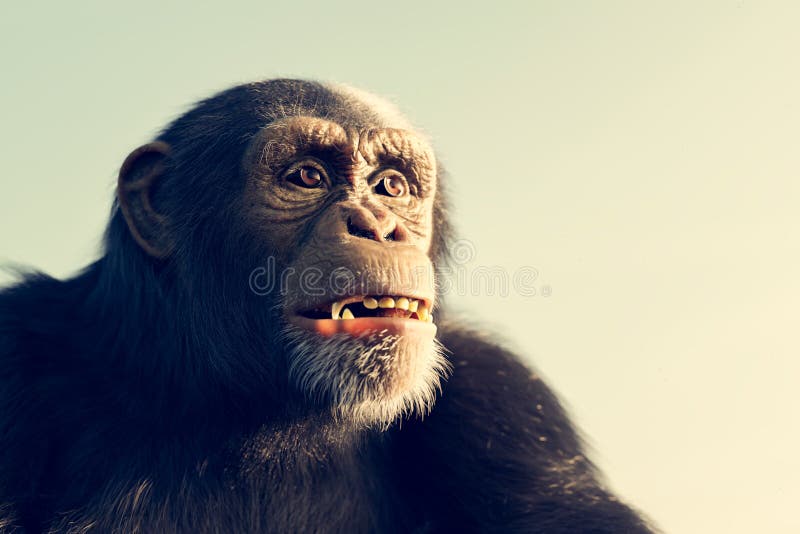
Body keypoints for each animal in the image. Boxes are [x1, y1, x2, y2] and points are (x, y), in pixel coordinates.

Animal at [0, 79, 655, 533]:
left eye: (393, 185)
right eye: (307, 176)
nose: (379, 224)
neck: (252, 410)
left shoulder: (505, 399)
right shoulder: (17, 355)